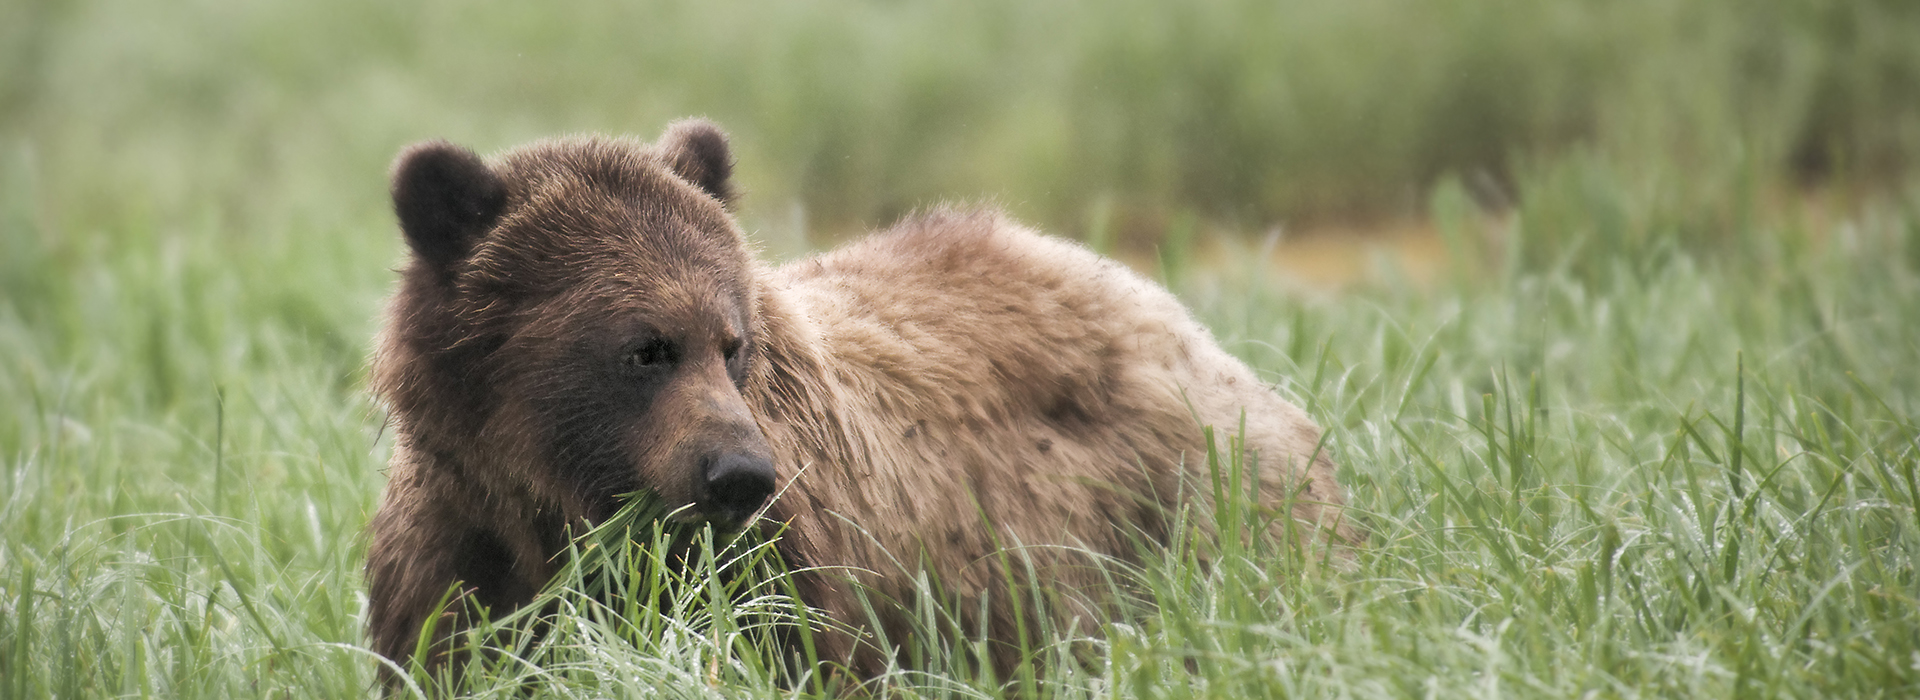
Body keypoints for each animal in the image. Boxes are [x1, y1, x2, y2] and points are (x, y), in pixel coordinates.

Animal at [364, 119, 1358, 687]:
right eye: (645, 347)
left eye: (733, 341)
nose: (739, 472)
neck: (555, 507)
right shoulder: (461, 557)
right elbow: (449, 649)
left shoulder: (793, 570)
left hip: (1186, 516)